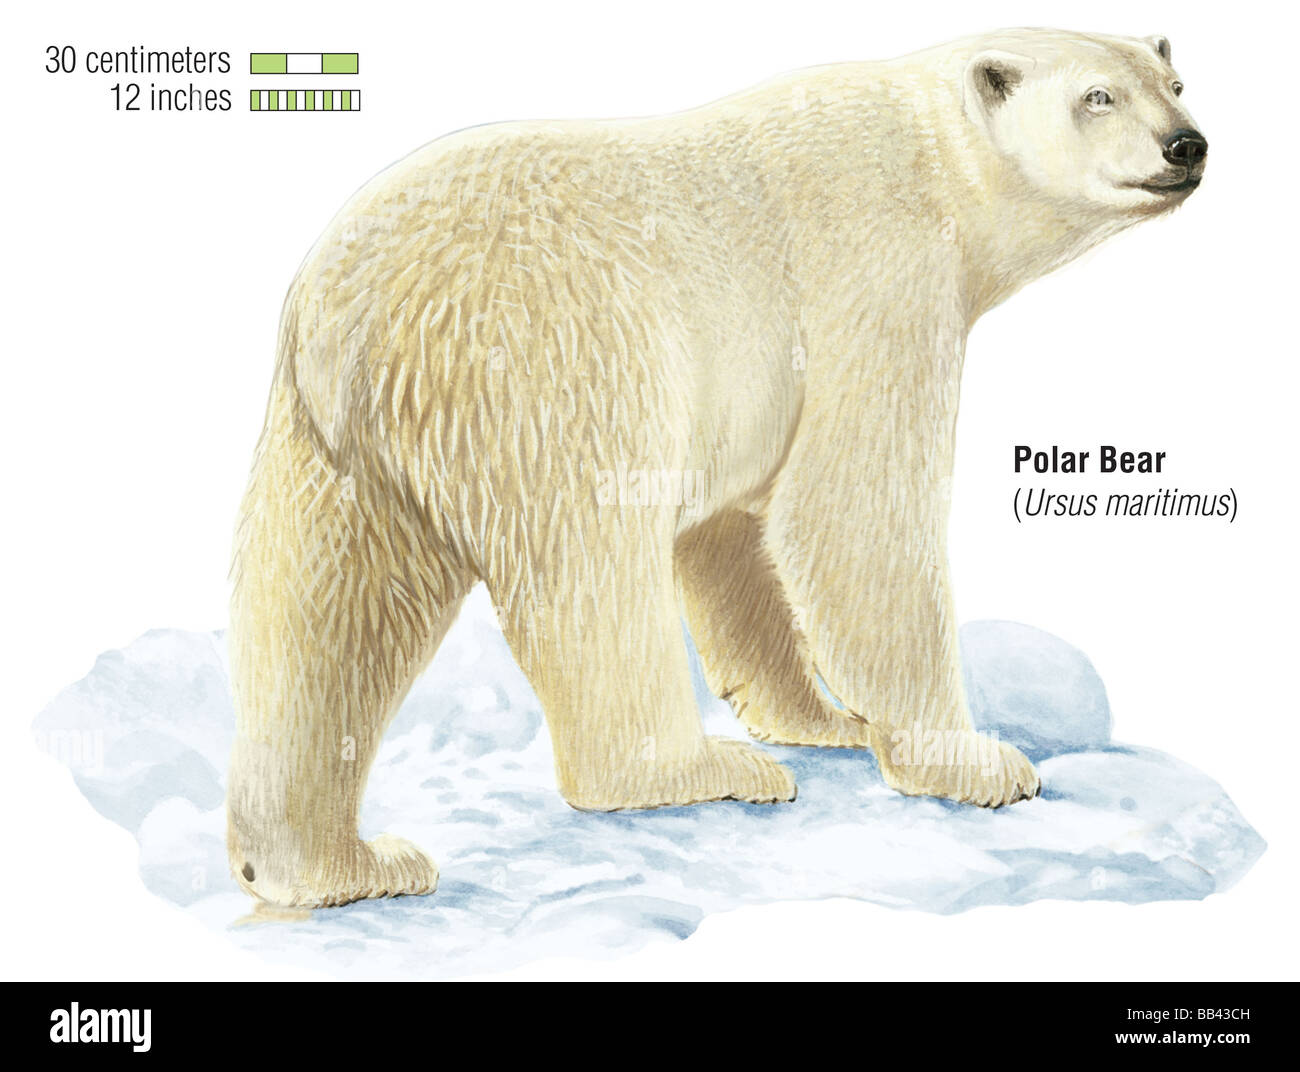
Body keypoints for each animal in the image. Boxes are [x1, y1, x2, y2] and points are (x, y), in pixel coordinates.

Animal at [226, 28, 1206, 908]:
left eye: (1175, 81)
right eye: (1097, 96)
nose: (1186, 146)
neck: (937, 158)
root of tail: (350, 319)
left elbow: (735, 538)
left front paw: (823, 719)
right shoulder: (880, 274)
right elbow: (850, 515)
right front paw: (973, 760)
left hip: (336, 451)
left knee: (323, 618)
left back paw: (336, 867)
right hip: (554, 360)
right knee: (594, 568)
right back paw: (694, 769)